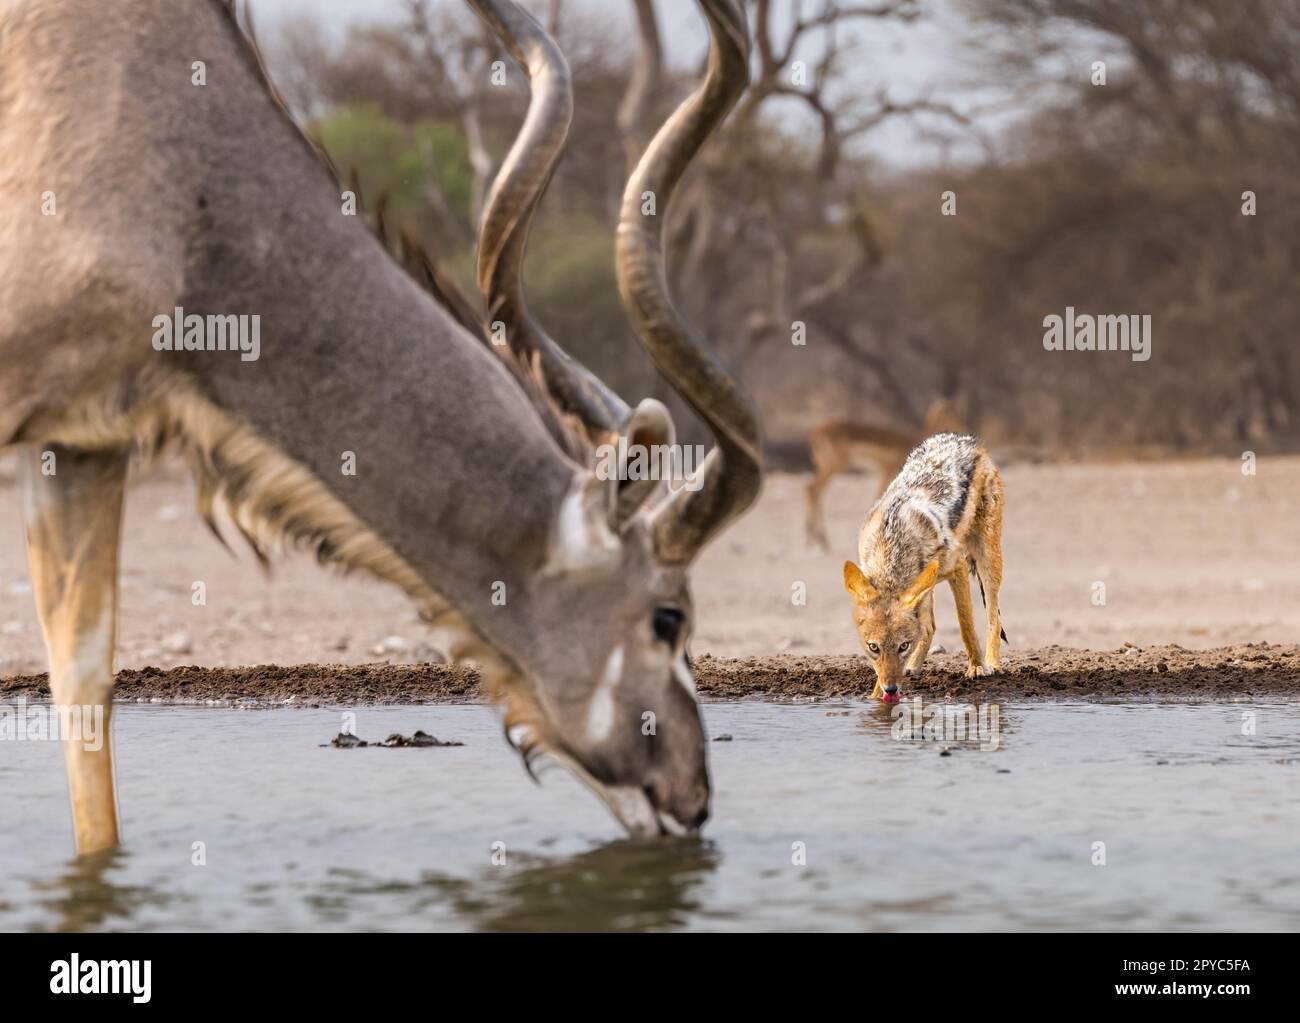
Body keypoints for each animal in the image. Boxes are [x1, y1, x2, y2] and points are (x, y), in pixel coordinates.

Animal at [805, 398, 964, 549]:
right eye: (951, 411)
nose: (963, 424)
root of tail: (815, 431)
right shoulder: (887, 471)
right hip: (833, 468)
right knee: (813, 490)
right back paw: (820, 540)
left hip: (825, 467)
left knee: (812, 489)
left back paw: (818, 540)